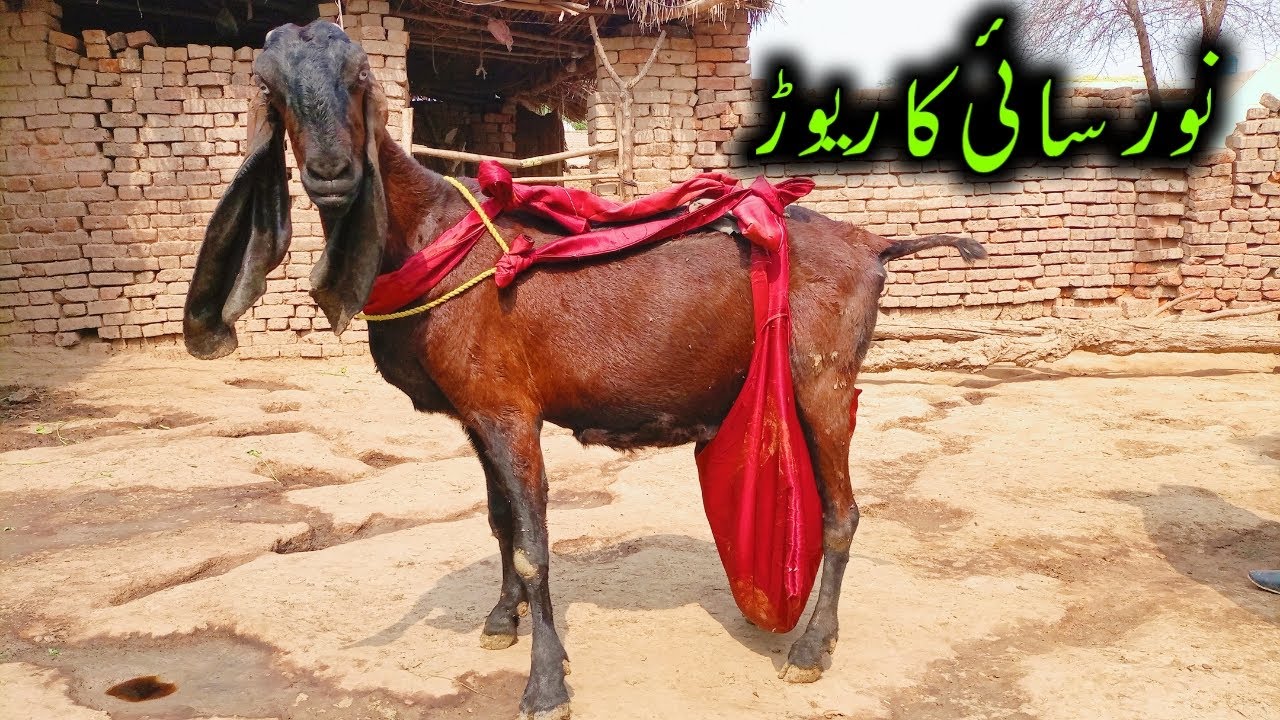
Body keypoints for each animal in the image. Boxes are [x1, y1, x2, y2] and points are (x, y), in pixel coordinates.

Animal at [183, 21, 985, 720]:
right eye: (269, 86)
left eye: (358, 77)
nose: (331, 174)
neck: (436, 234)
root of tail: (874, 245)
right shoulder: (479, 413)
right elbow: (499, 521)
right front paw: (501, 619)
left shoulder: (511, 413)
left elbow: (534, 546)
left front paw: (545, 685)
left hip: (823, 383)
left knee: (842, 515)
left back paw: (813, 649)